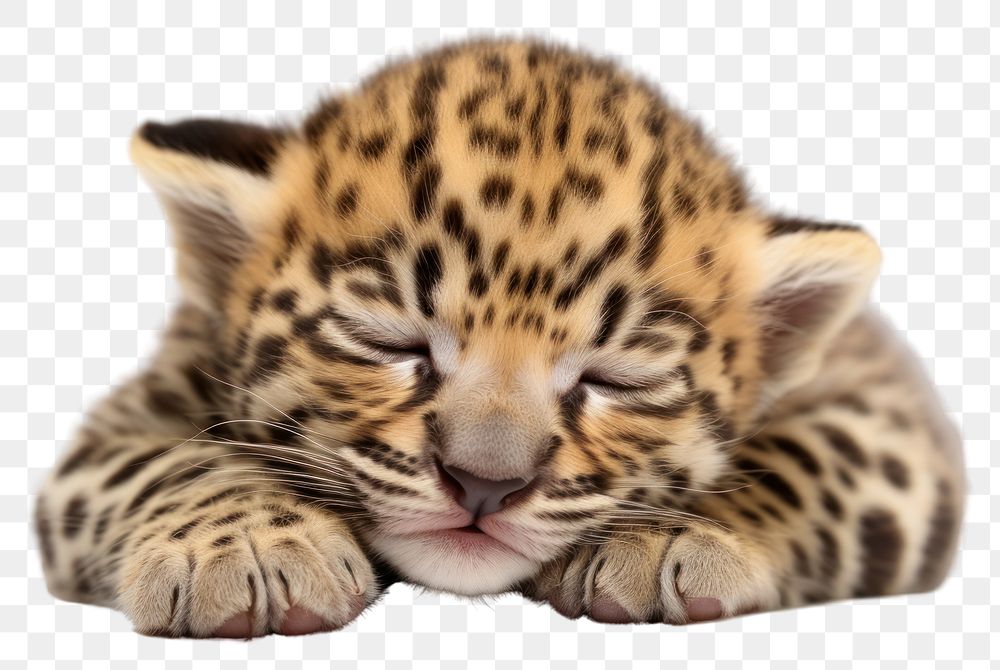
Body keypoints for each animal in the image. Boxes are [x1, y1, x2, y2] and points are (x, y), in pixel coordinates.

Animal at [34, 38, 964, 637]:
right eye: (391, 342)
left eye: (615, 378)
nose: (485, 485)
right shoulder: (124, 422)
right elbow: (167, 461)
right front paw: (252, 546)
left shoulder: (891, 419)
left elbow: (798, 457)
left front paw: (667, 537)